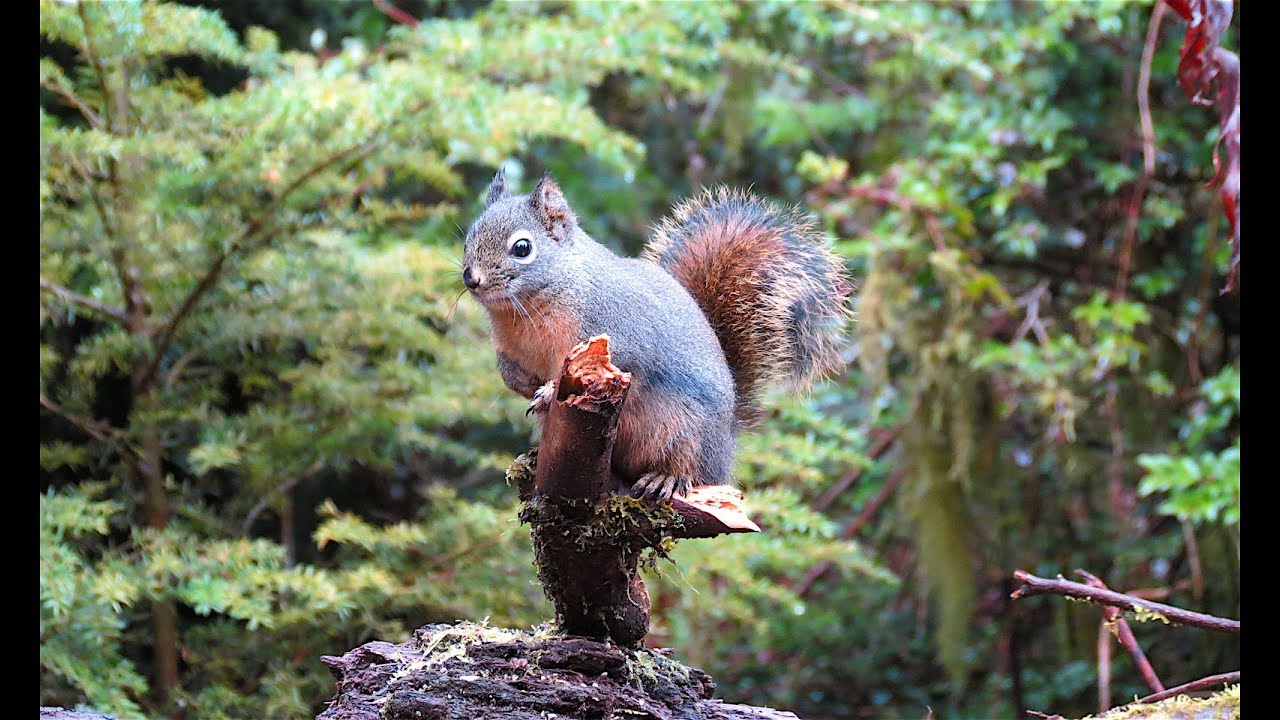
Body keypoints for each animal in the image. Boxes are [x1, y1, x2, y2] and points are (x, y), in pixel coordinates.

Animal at [461, 168, 853, 502]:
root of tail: (726, 448)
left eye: (522, 248)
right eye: (468, 238)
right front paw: (522, 385)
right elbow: (509, 372)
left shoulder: (619, 330)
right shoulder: (509, 348)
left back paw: (667, 477)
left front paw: (548, 390)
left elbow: (617, 360)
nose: (471, 278)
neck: (524, 312)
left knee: (690, 469)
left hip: (684, 433)